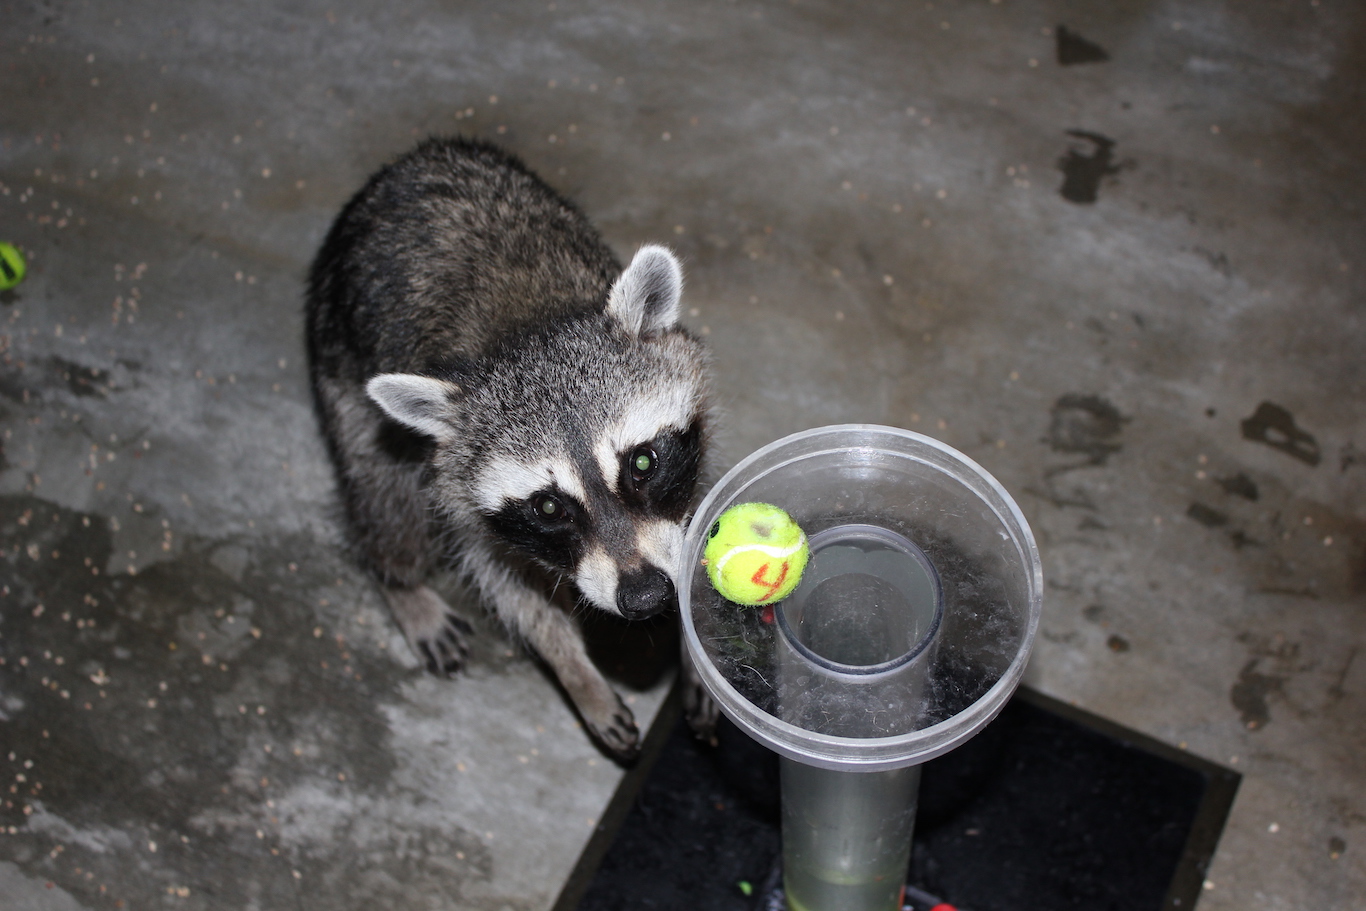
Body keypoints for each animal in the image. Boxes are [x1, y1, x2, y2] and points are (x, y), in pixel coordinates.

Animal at [305, 137, 710, 760]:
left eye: (642, 462)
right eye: (548, 506)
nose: (644, 598)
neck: (528, 327)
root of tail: (414, 157)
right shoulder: (460, 492)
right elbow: (507, 585)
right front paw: (573, 669)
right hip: (340, 371)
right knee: (384, 497)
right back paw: (399, 579)